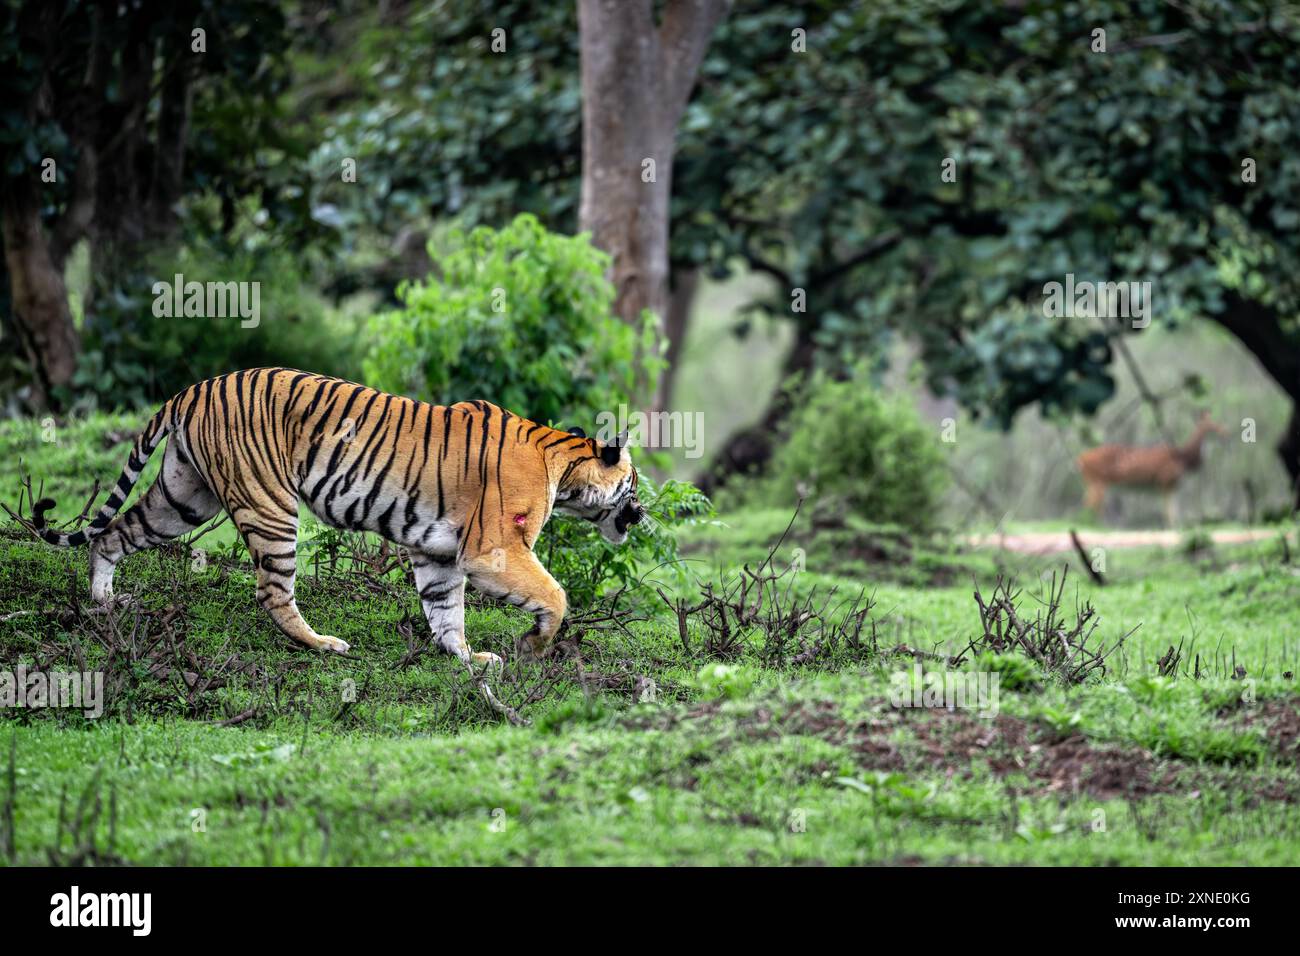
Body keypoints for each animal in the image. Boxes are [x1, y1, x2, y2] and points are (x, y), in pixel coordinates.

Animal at [25, 368, 644, 674]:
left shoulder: (438, 552)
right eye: (634, 484)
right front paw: (533, 646)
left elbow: (445, 610)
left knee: (111, 535)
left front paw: (466, 658)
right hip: (270, 507)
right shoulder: (493, 548)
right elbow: (555, 594)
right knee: (272, 592)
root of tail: (192, 390)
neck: (563, 466)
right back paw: (322, 644)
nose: (640, 514)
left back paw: (105, 603)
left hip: (182, 499)